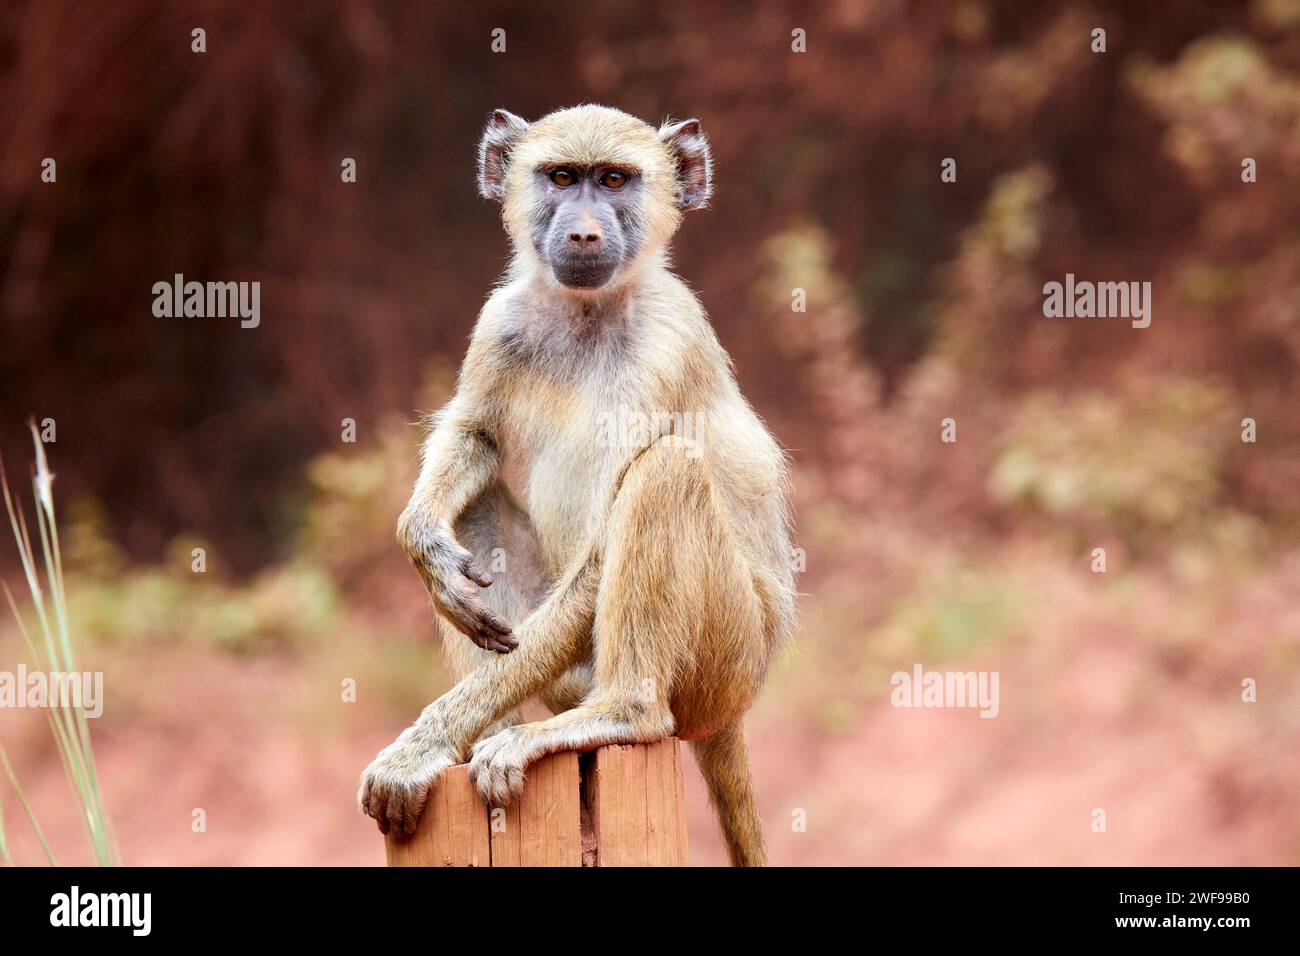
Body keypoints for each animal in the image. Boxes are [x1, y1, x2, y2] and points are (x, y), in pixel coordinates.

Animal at [358, 104, 796, 867]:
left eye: (614, 180)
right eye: (561, 177)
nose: (585, 233)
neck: (589, 312)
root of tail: (735, 709)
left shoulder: (666, 345)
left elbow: (600, 550)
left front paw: (416, 750)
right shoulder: (501, 320)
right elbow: (478, 435)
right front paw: (425, 547)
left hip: (727, 660)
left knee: (667, 472)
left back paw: (619, 715)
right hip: (576, 671)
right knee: (484, 503)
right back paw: (482, 732)